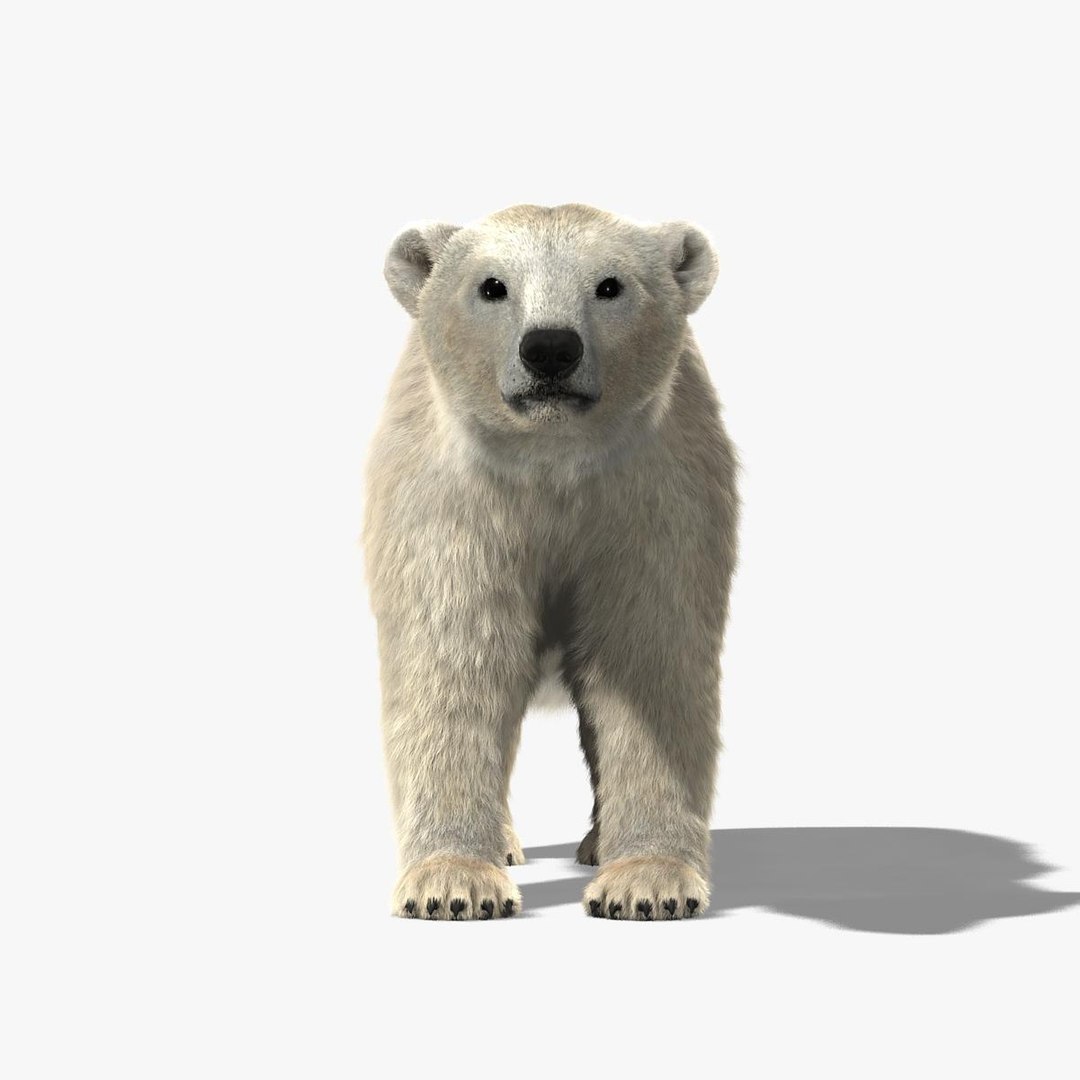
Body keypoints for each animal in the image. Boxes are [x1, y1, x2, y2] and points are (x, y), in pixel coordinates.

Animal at [363, 203, 740, 920]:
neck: (551, 464)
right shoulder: (451, 506)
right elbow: (454, 665)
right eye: (491, 285)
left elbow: (648, 664)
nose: (550, 349)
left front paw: (647, 882)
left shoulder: (654, 498)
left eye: (611, 284)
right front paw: (452, 884)